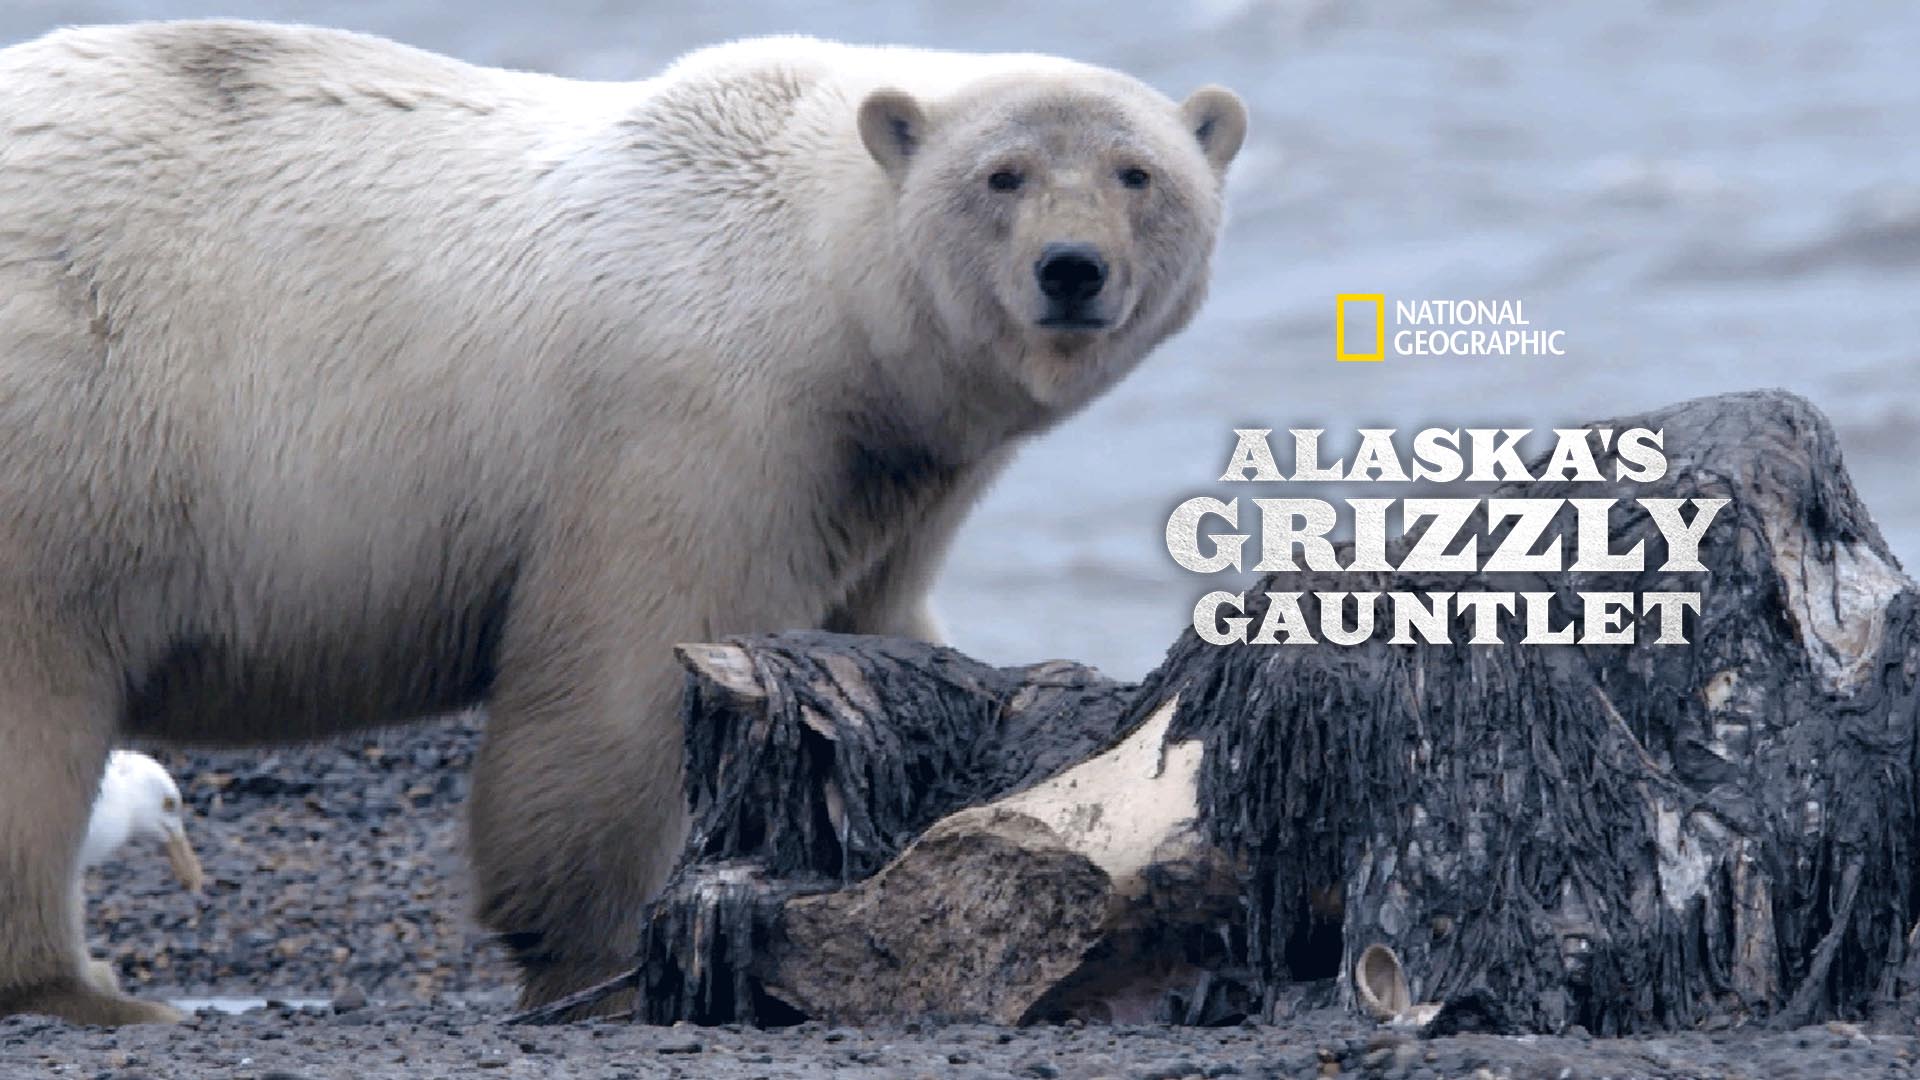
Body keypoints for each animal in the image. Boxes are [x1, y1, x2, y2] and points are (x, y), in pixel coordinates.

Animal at [0, 20, 1246, 1025]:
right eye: (1004, 174)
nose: (1072, 270)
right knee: (38, 710)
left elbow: (886, 628)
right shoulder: (693, 414)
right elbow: (624, 680)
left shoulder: (886, 479)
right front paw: (608, 962)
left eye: (1137, 172)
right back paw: (90, 990)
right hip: (74, 418)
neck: (817, 278)